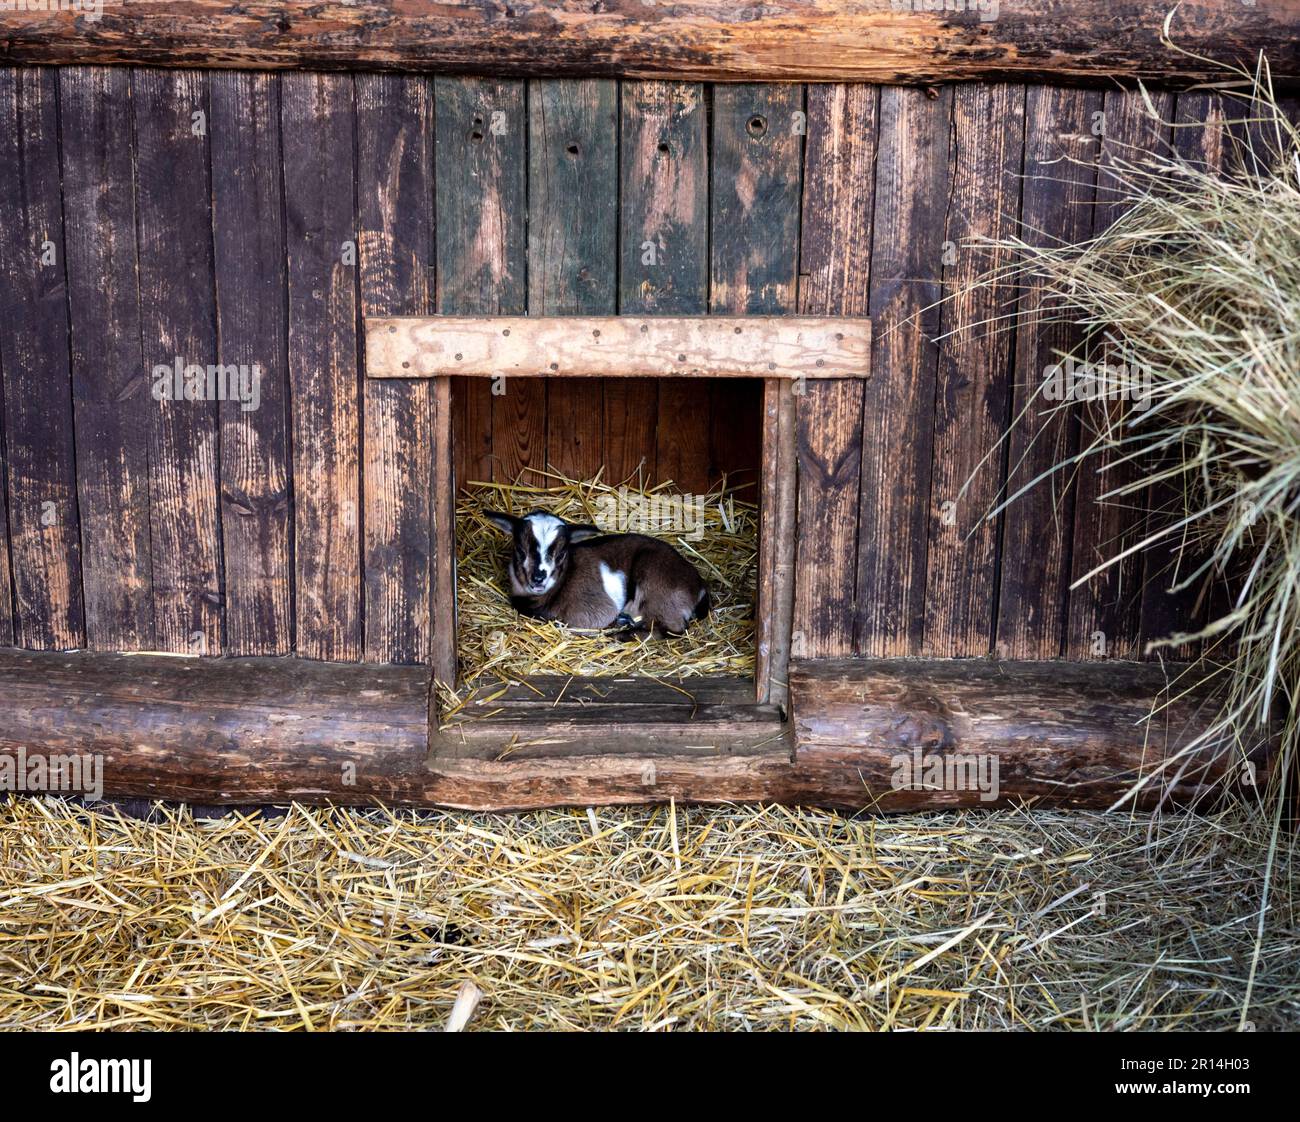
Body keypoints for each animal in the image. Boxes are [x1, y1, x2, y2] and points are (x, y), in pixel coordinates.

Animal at [483, 510, 711, 636]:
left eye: (562, 553)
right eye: (520, 550)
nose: (538, 578)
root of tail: (699, 585)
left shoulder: (594, 610)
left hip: (656, 582)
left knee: (673, 628)